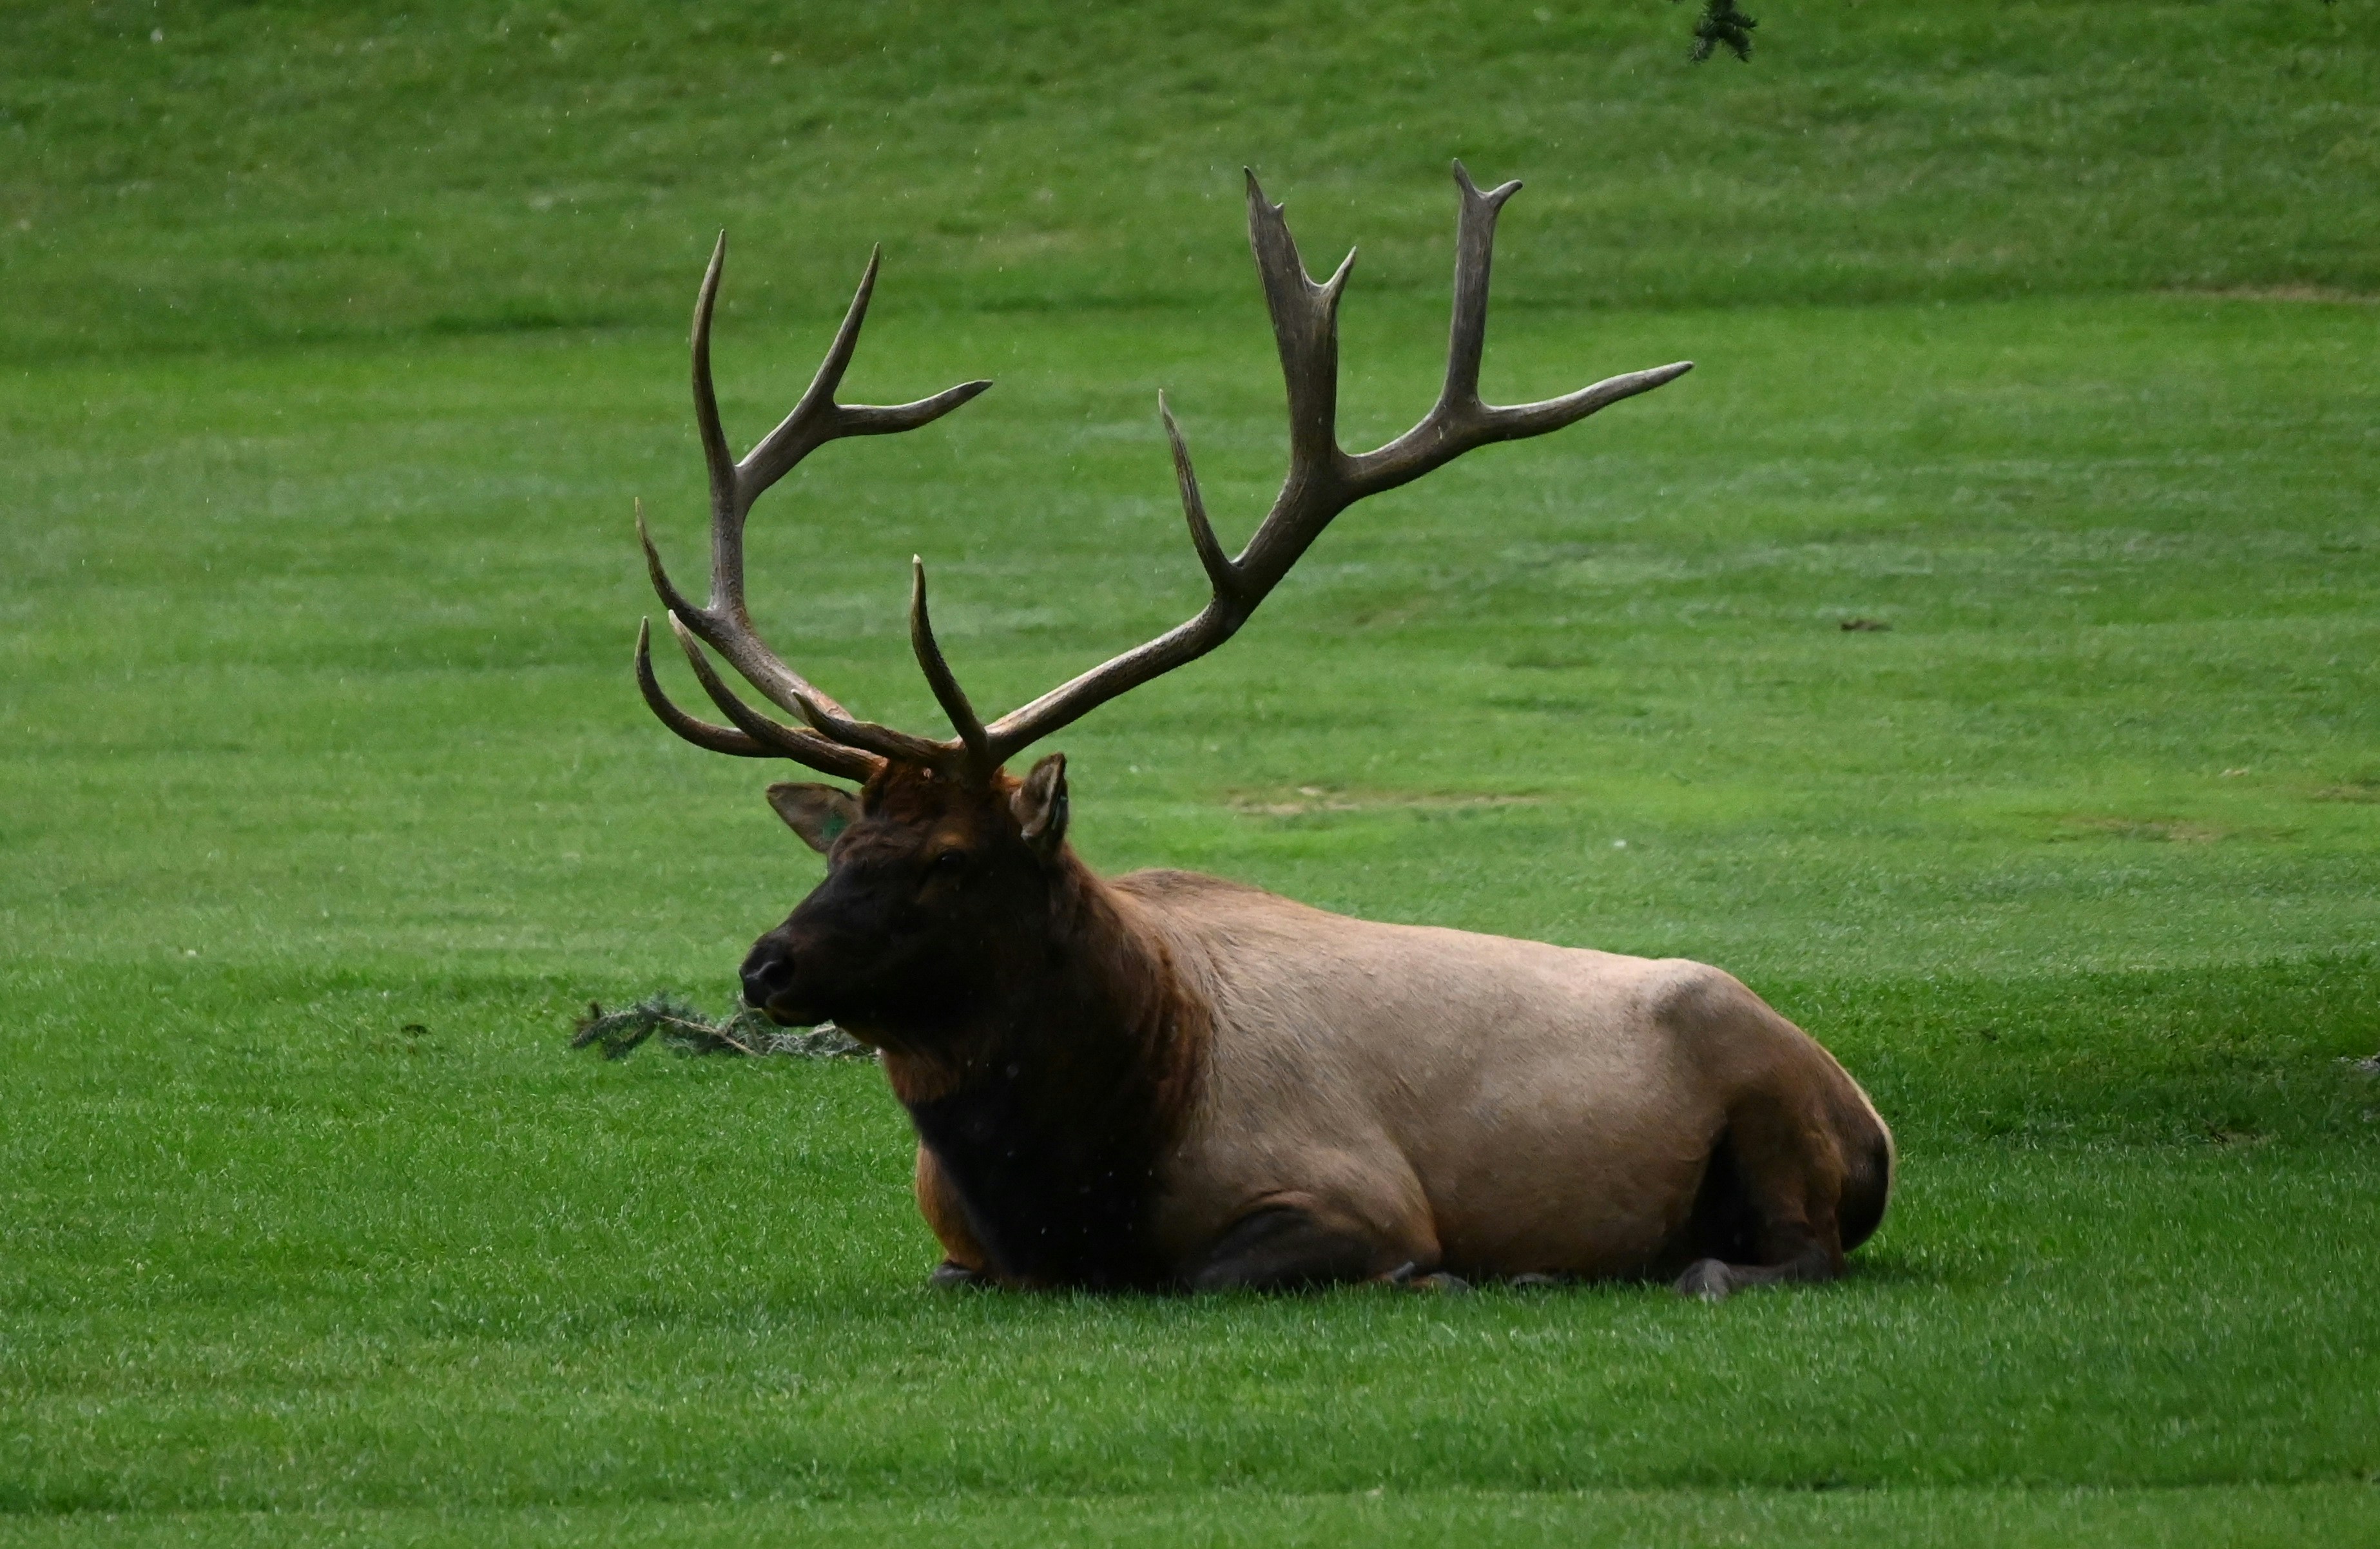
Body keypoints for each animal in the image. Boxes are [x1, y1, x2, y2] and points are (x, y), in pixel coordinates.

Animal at [626, 165, 1893, 1299]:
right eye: (839, 844)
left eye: (949, 858)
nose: (766, 963)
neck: (1070, 1181)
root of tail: (1874, 1129)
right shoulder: (953, 1244)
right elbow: (957, 1276)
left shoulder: (1353, 1193)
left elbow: (1217, 1273)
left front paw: (1435, 1279)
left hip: (1774, 1111)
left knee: (1784, 1256)